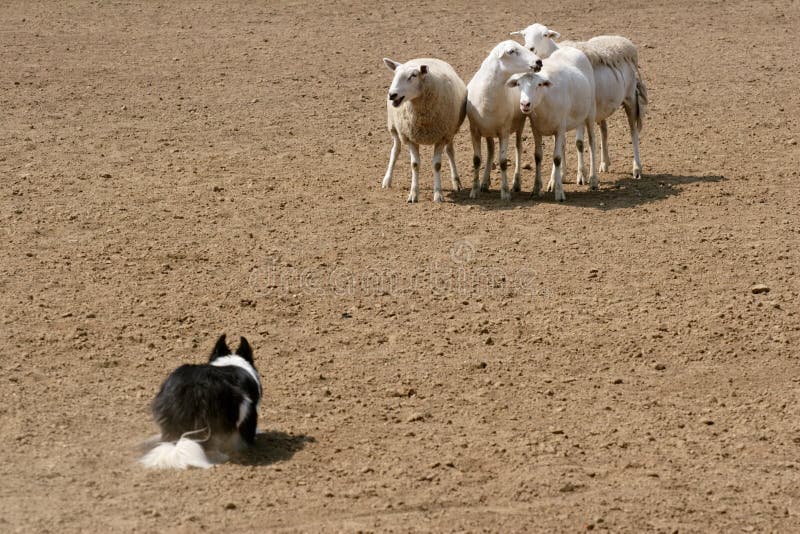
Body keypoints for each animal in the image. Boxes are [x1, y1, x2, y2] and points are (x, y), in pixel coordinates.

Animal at [381, 57, 467, 203]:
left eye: (413, 76)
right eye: (395, 74)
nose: (392, 95)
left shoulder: (442, 136)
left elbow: (437, 165)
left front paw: (438, 194)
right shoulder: (409, 137)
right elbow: (415, 164)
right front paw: (413, 194)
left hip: (451, 131)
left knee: (450, 152)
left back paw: (456, 182)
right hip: (394, 128)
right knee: (395, 151)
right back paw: (387, 180)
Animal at [465, 40, 543, 201]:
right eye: (512, 51)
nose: (539, 62)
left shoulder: (504, 131)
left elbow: (502, 162)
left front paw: (505, 192)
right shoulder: (474, 129)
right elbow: (477, 160)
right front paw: (474, 190)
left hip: (520, 124)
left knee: (518, 148)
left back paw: (516, 183)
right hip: (488, 130)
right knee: (490, 151)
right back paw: (484, 183)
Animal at [507, 49, 598, 202]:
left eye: (539, 85)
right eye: (519, 84)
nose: (525, 104)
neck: (544, 101)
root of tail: (571, 48)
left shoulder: (560, 128)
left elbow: (556, 158)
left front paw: (559, 193)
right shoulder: (536, 128)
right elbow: (538, 156)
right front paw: (536, 189)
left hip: (590, 112)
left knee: (591, 143)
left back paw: (593, 180)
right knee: (567, 145)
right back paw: (558, 179)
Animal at [511, 23, 648, 179]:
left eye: (545, 34)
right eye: (524, 35)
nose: (530, 48)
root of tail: (622, 40)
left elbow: (579, 143)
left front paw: (581, 174)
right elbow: (561, 143)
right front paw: (562, 174)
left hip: (630, 98)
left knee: (633, 131)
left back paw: (637, 168)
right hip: (601, 106)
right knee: (604, 129)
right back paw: (604, 163)